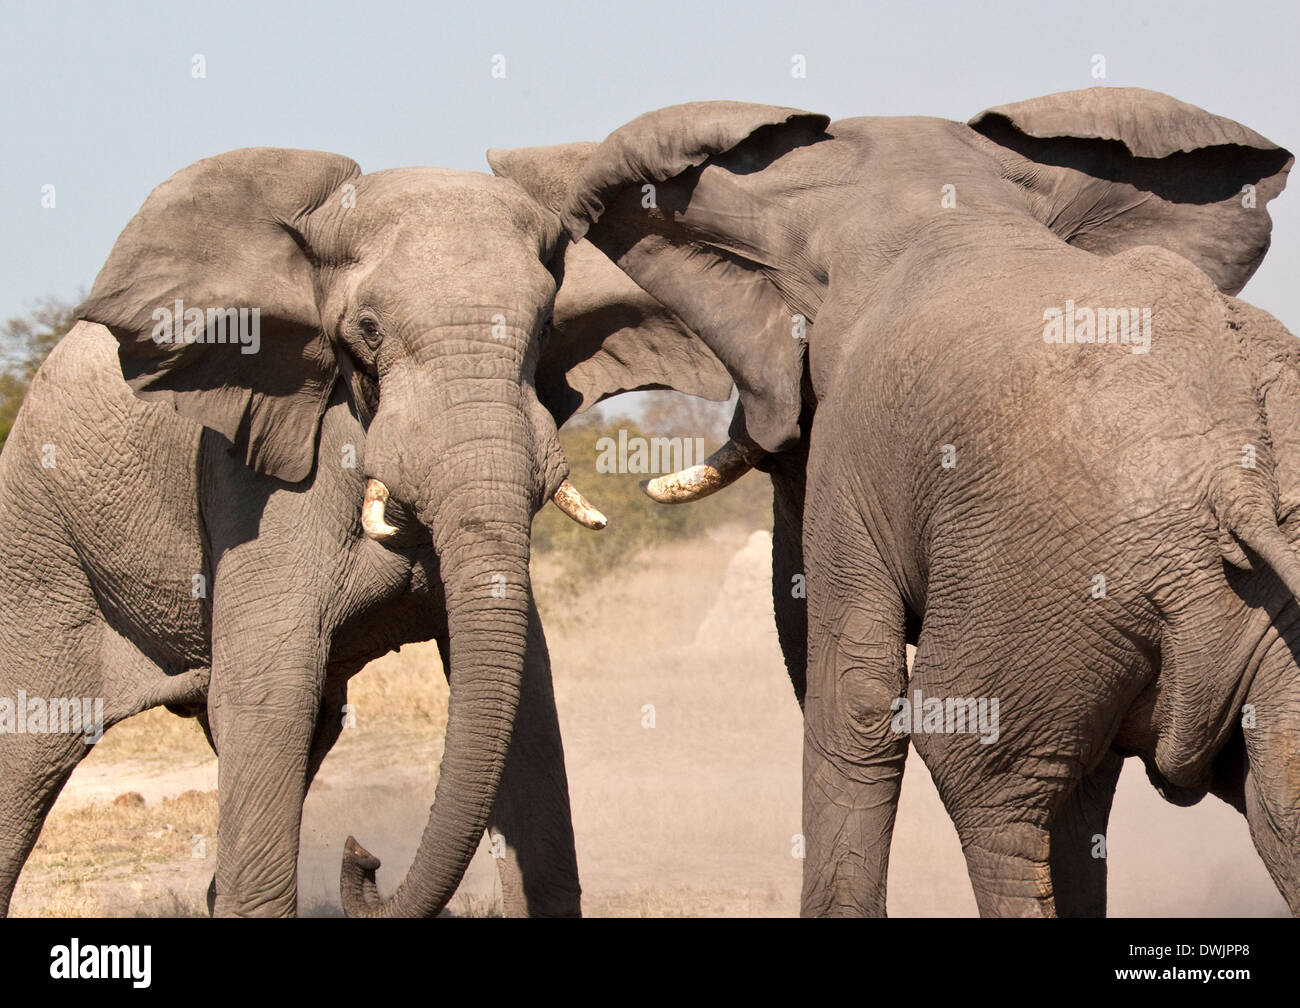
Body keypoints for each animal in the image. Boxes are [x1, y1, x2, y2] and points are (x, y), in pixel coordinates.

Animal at [0, 147, 734, 917]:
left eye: (542, 331)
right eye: (370, 330)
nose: (363, 855)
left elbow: (527, 703)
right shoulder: (254, 478)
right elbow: (270, 697)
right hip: (40, 535)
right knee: (31, 746)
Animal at [490, 87, 1300, 916]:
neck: (954, 210)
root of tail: (1233, 473)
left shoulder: (853, 456)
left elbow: (857, 696)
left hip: (1046, 582)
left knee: (981, 775)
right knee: (1271, 798)